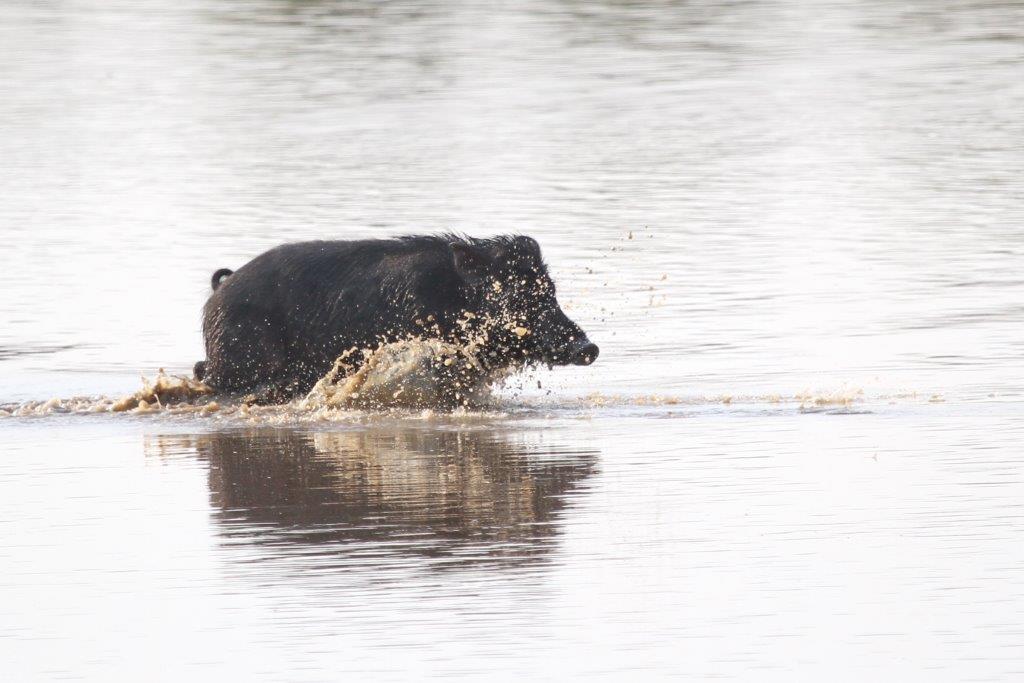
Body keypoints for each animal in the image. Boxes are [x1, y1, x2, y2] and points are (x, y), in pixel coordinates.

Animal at [193, 235, 598, 402]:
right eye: (515, 295)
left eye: (550, 290)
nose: (589, 347)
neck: (451, 298)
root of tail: (220, 290)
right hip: (238, 359)